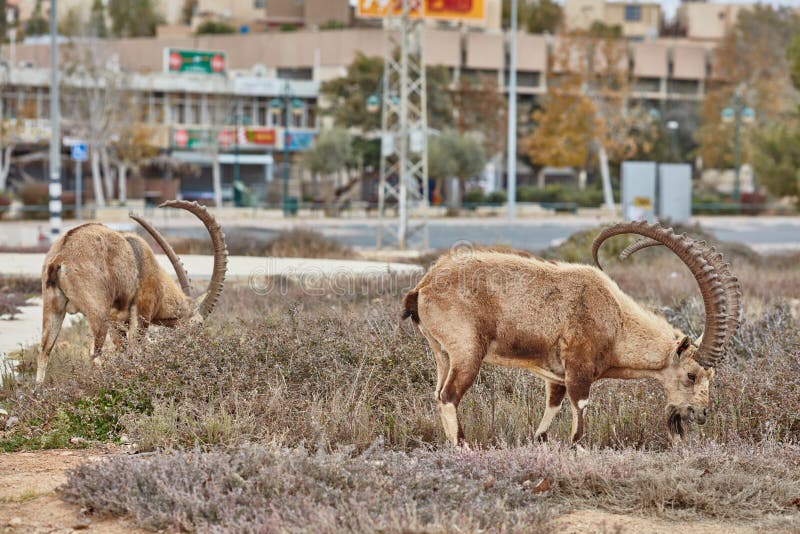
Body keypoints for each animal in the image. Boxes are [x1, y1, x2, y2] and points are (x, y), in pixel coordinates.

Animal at [37, 200, 228, 383]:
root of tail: (60, 257)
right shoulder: (141, 311)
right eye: (198, 324)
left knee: (44, 351)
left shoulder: (119, 321)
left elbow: (122, 350)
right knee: (94, 352)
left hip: (53, 307)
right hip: (98, 312)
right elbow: (135, 348)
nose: (196, 346)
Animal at [402, 222, 741, 445]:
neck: (616, 318)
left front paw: (539, 441)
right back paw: (465, 448)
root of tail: (423, 287)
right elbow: (580, 415)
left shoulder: (556, 376)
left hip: (441, 354)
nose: (701, 414)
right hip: (467, 352)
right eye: (691, 375)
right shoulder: (579, 366)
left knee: (438, 394)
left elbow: (552, 407)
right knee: (449, 396)